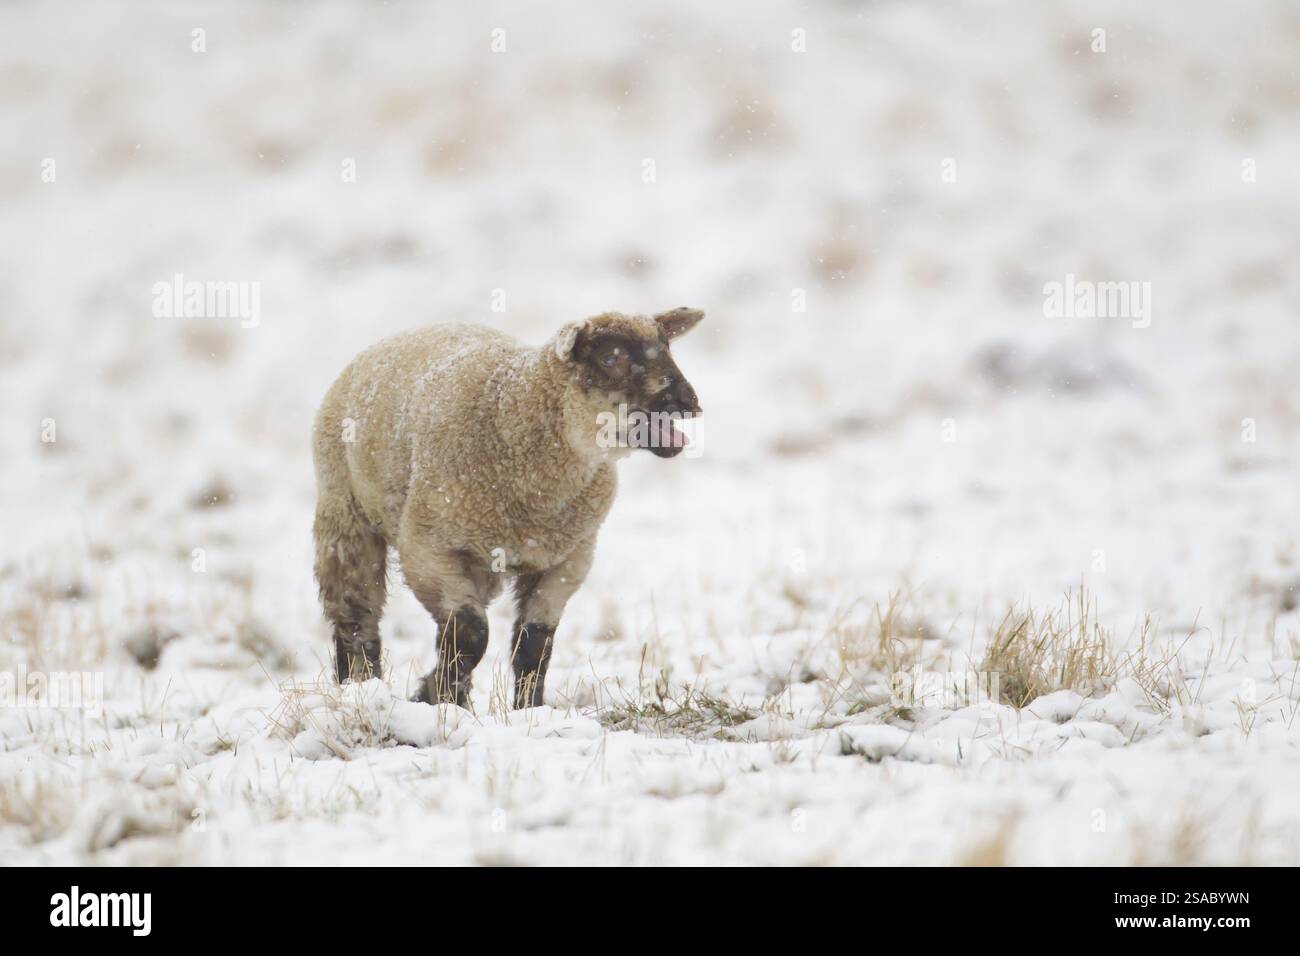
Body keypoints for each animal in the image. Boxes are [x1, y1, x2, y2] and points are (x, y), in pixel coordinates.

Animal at [312, 307, 704, 709]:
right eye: (611, 357)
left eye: (666, 347)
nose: (687, 402)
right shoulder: (427, 548)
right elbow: (470, 634)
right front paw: (440, 699)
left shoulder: (568, 559)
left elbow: (535, 643)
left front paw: (525, 708)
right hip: (345, 513)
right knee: (355, 613)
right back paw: (358, 685)